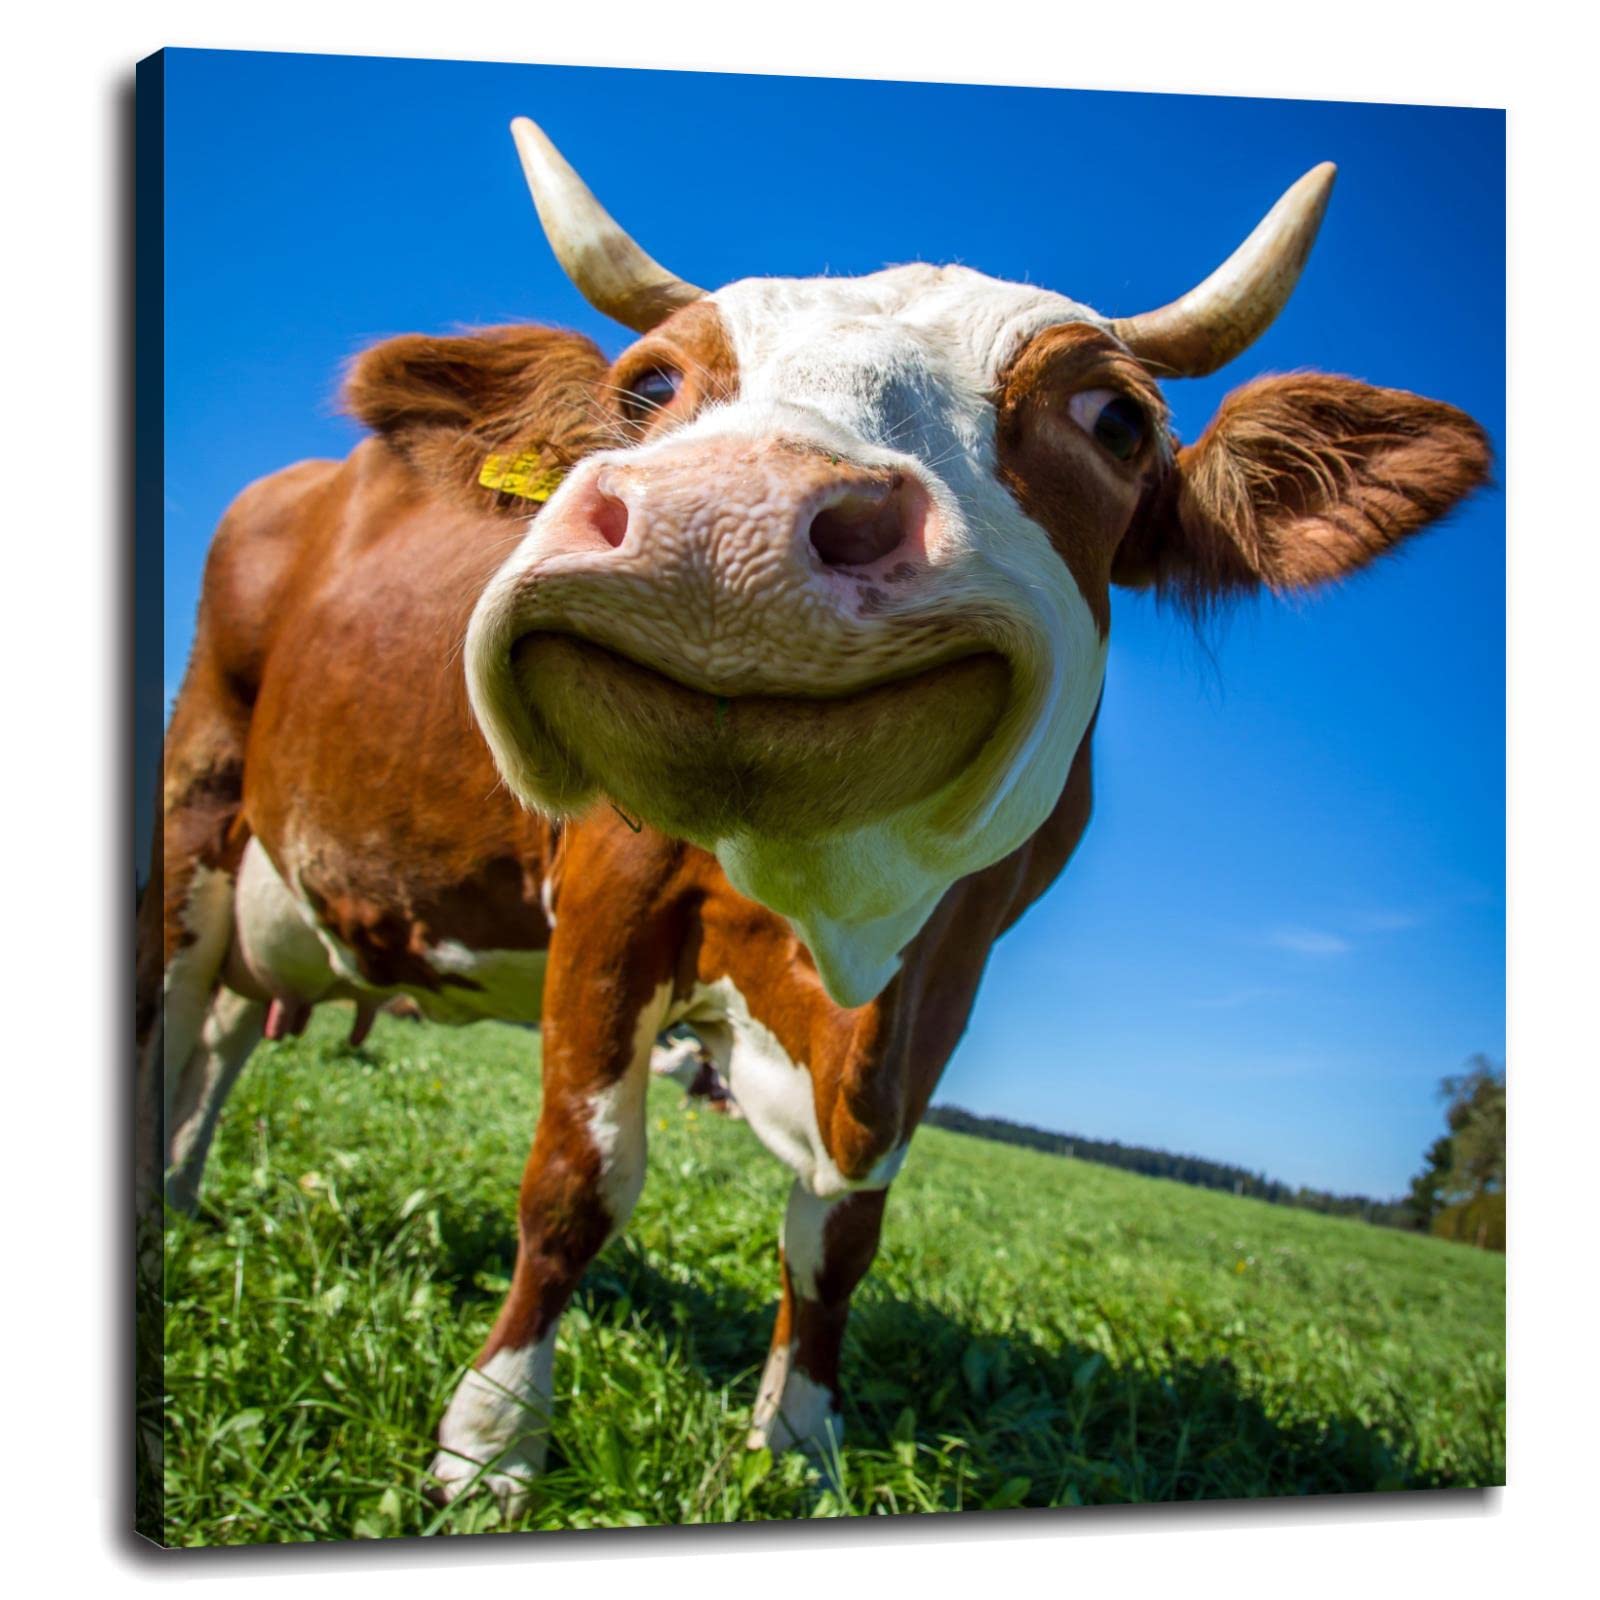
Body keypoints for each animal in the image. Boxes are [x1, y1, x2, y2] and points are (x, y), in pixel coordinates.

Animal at [136, 116, 1490, 1513]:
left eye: (1114, 419)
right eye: (648, 390)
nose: (723, 519)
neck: (830, 919)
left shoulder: (946, 971)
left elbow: (840, 1230)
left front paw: (795, 1448)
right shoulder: (610, 897)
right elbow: (578, 1180)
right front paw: (491, 1441)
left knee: (226, 1032)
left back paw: (183, 1190)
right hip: (197, 794)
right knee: (171, 1005)